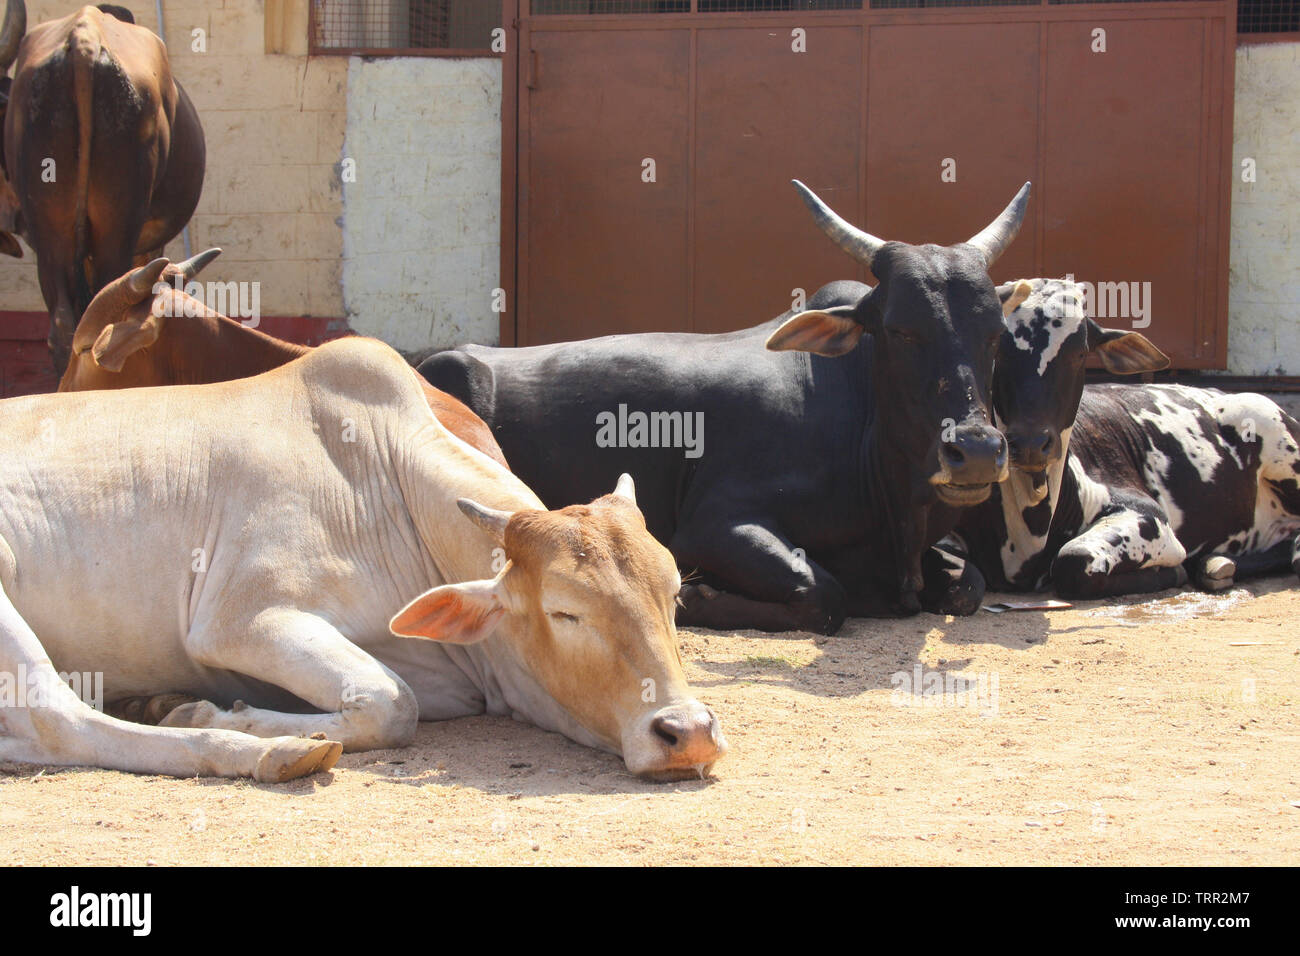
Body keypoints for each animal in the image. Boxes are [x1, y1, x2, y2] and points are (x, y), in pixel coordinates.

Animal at [0, 274, 726, 781]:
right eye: (565, 612)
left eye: (675, 598)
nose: (686, 732)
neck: (386, 482)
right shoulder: (244, 619)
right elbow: (389, 703)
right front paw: (214, 711)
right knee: (59, 719)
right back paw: (260, 751)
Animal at [420, 179, 1031, 633]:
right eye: (901, 330)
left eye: (996, 333)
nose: (976, 452)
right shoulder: (714, 523)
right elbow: (823, 594)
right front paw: (698, 597)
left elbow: (969, 584)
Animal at [950, 277, 1300, 598]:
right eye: (996, 349)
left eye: (1081, 353)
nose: (1031, 443)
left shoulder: (1148, 515)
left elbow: (1073, 560)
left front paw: (1174, 572)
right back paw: (1215, 564)